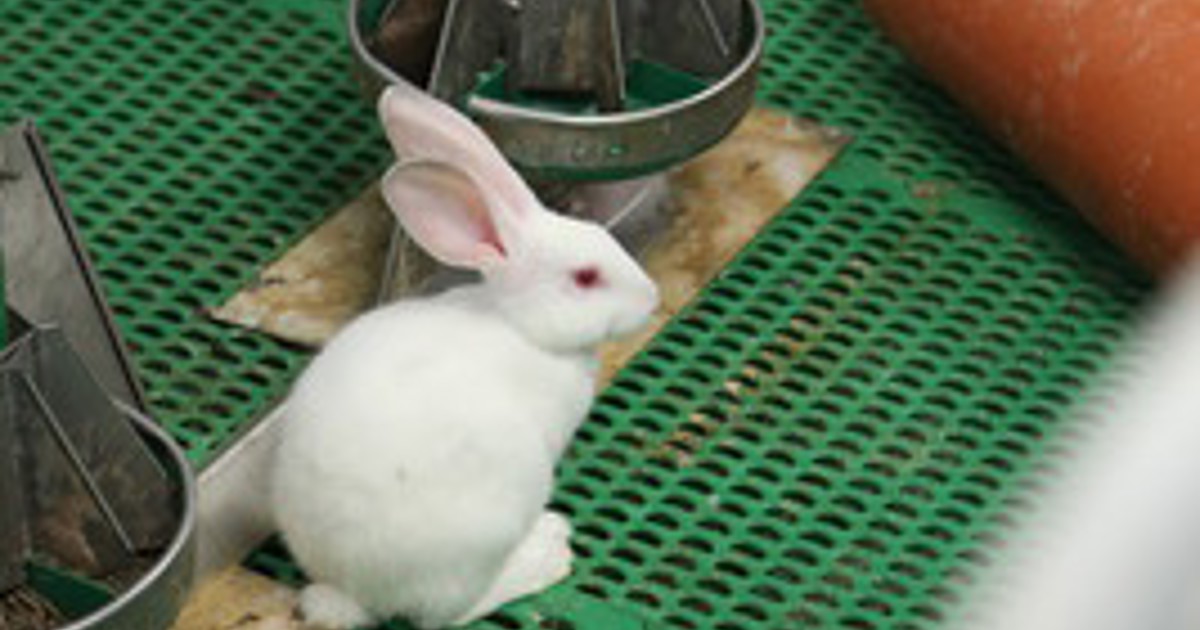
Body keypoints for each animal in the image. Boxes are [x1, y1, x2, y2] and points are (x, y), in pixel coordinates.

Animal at [270, 84, 660, 630]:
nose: (652, 297)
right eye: (585, 277)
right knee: (450, 612)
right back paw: (546, 553)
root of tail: (348, 590)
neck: (518, 323)